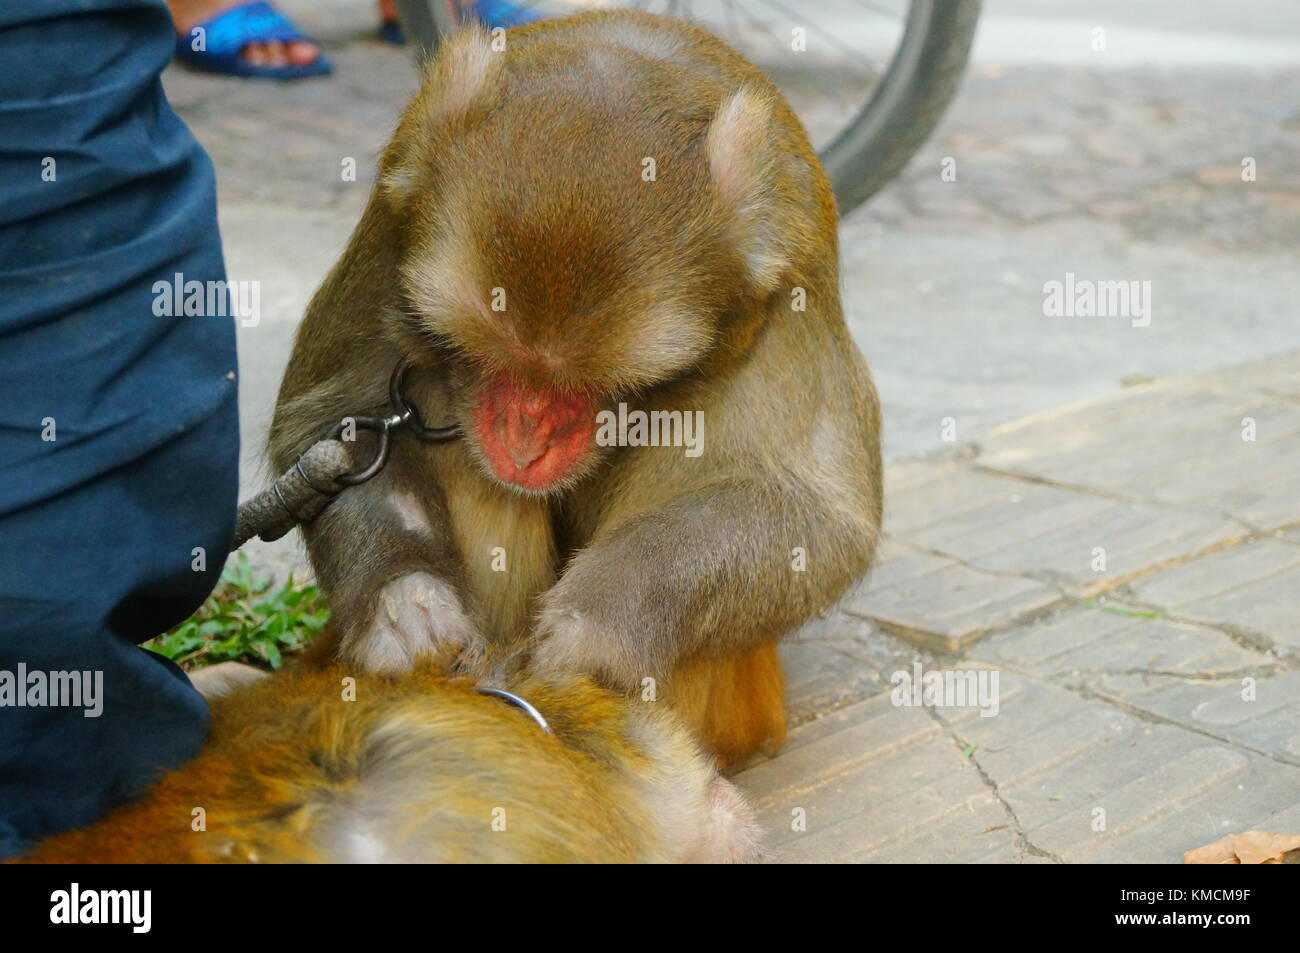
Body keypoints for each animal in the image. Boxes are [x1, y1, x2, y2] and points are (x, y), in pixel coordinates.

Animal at [268, 10, 883, 769]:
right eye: (497, 361)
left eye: (590, 385)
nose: (524, 441)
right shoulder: (394, 208)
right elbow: (332, 420)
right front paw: (406, 604)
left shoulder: (791, 273)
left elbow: (817, 518)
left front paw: (597, 624)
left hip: (748, 707)